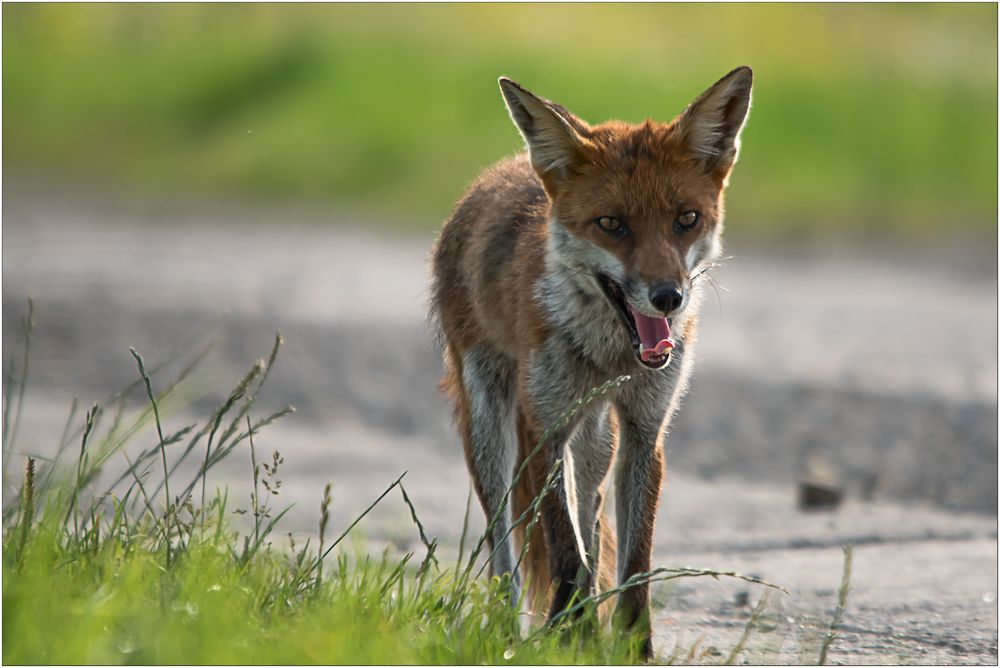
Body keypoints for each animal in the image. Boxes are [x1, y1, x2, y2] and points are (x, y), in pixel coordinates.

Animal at [430, 67, 753, 656]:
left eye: (687, 219)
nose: (668, 297)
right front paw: (571, 636)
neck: (610, 357)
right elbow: (564, 551)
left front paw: (629, 647)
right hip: (491, 427)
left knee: (592, 516)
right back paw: (511, 632)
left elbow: (632, 560)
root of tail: (501, 169)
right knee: (504, 546)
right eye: (612, 224)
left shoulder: (645, 428)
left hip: (596, 442)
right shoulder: (546, 426)